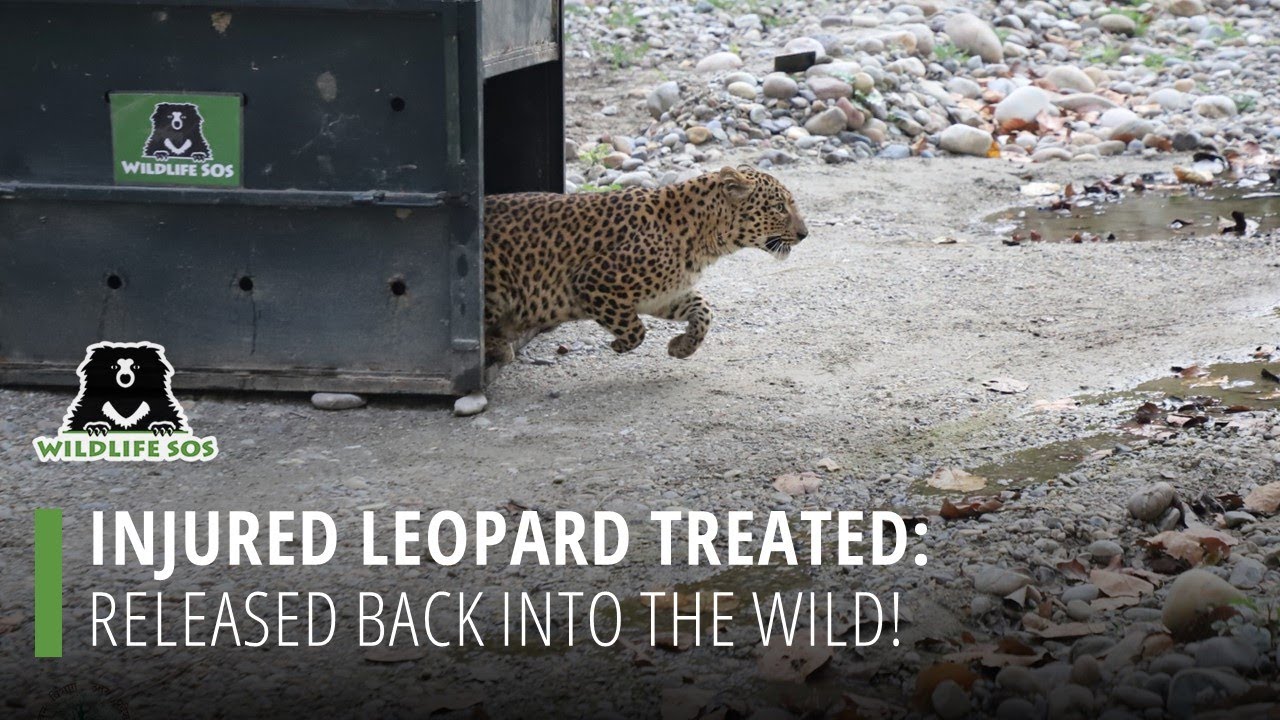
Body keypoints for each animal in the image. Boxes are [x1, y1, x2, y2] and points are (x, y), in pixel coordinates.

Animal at [481, 165, 807, 365]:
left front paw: (681, 346)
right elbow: (636, 330)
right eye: (779, 207)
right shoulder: (593, 280)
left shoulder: (663, 295)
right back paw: (500, 347)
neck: (705, 238)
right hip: (494, 283)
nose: (805, 234)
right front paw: (618, 346)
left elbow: (704, 310)